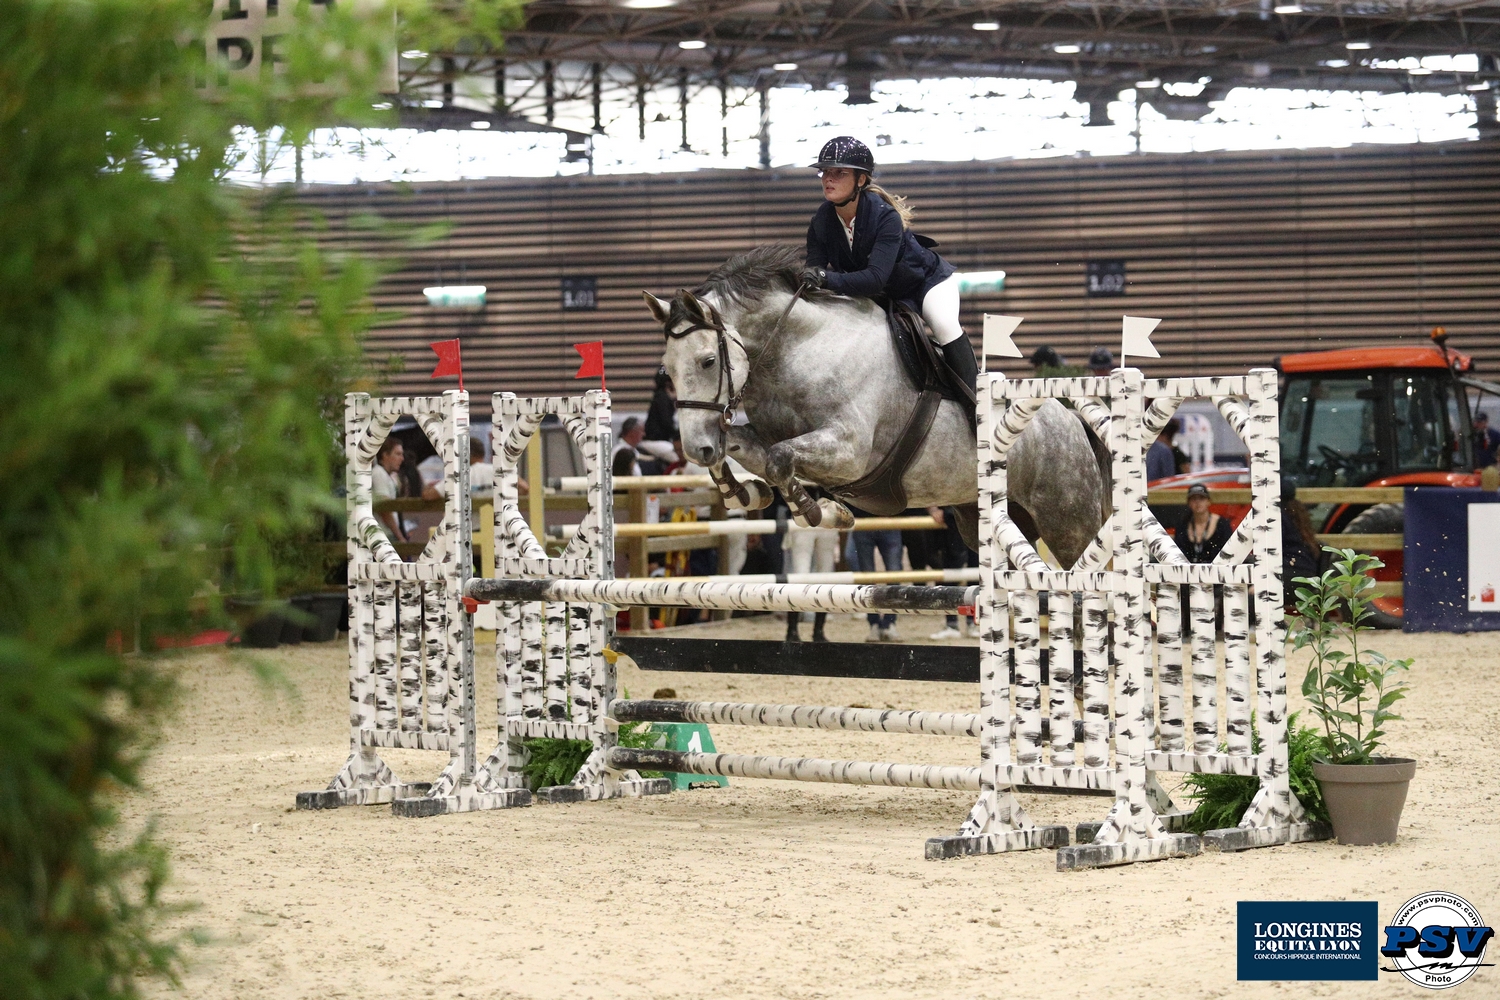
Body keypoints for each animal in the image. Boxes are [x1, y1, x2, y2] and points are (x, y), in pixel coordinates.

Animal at [644, 244, 1109, 568]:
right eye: (667, 369)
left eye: (707, 361)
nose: (696, 448)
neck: (794, 352)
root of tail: (1070, 418)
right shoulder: (771, 437)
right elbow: (750, 452)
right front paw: (744, 492)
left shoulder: (849, 451)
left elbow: (779, 460)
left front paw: (823, 513)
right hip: (984, 520)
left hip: (1068, 523)